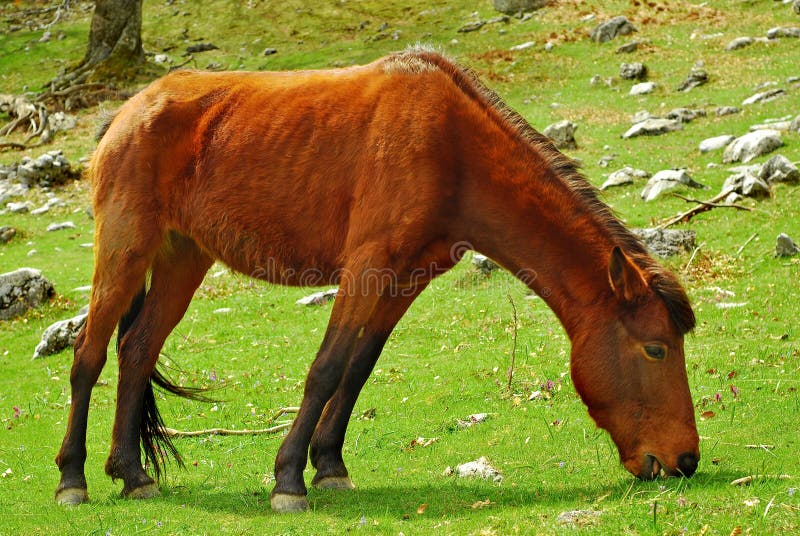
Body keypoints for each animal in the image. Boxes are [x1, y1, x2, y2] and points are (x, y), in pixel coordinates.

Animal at [54, 47, 700, 512]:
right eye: (656, 349)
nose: (686, 461)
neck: (451, 145)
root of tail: (127, 112)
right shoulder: (367, 265)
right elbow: (326, 368)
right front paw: (288, 481)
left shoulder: (405, 277)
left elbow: (358, 367)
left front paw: (329, 466)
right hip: (125, 250)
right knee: (88, 356)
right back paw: (72, 479)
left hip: (182, 260)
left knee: (137, 351)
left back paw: (133, 474)